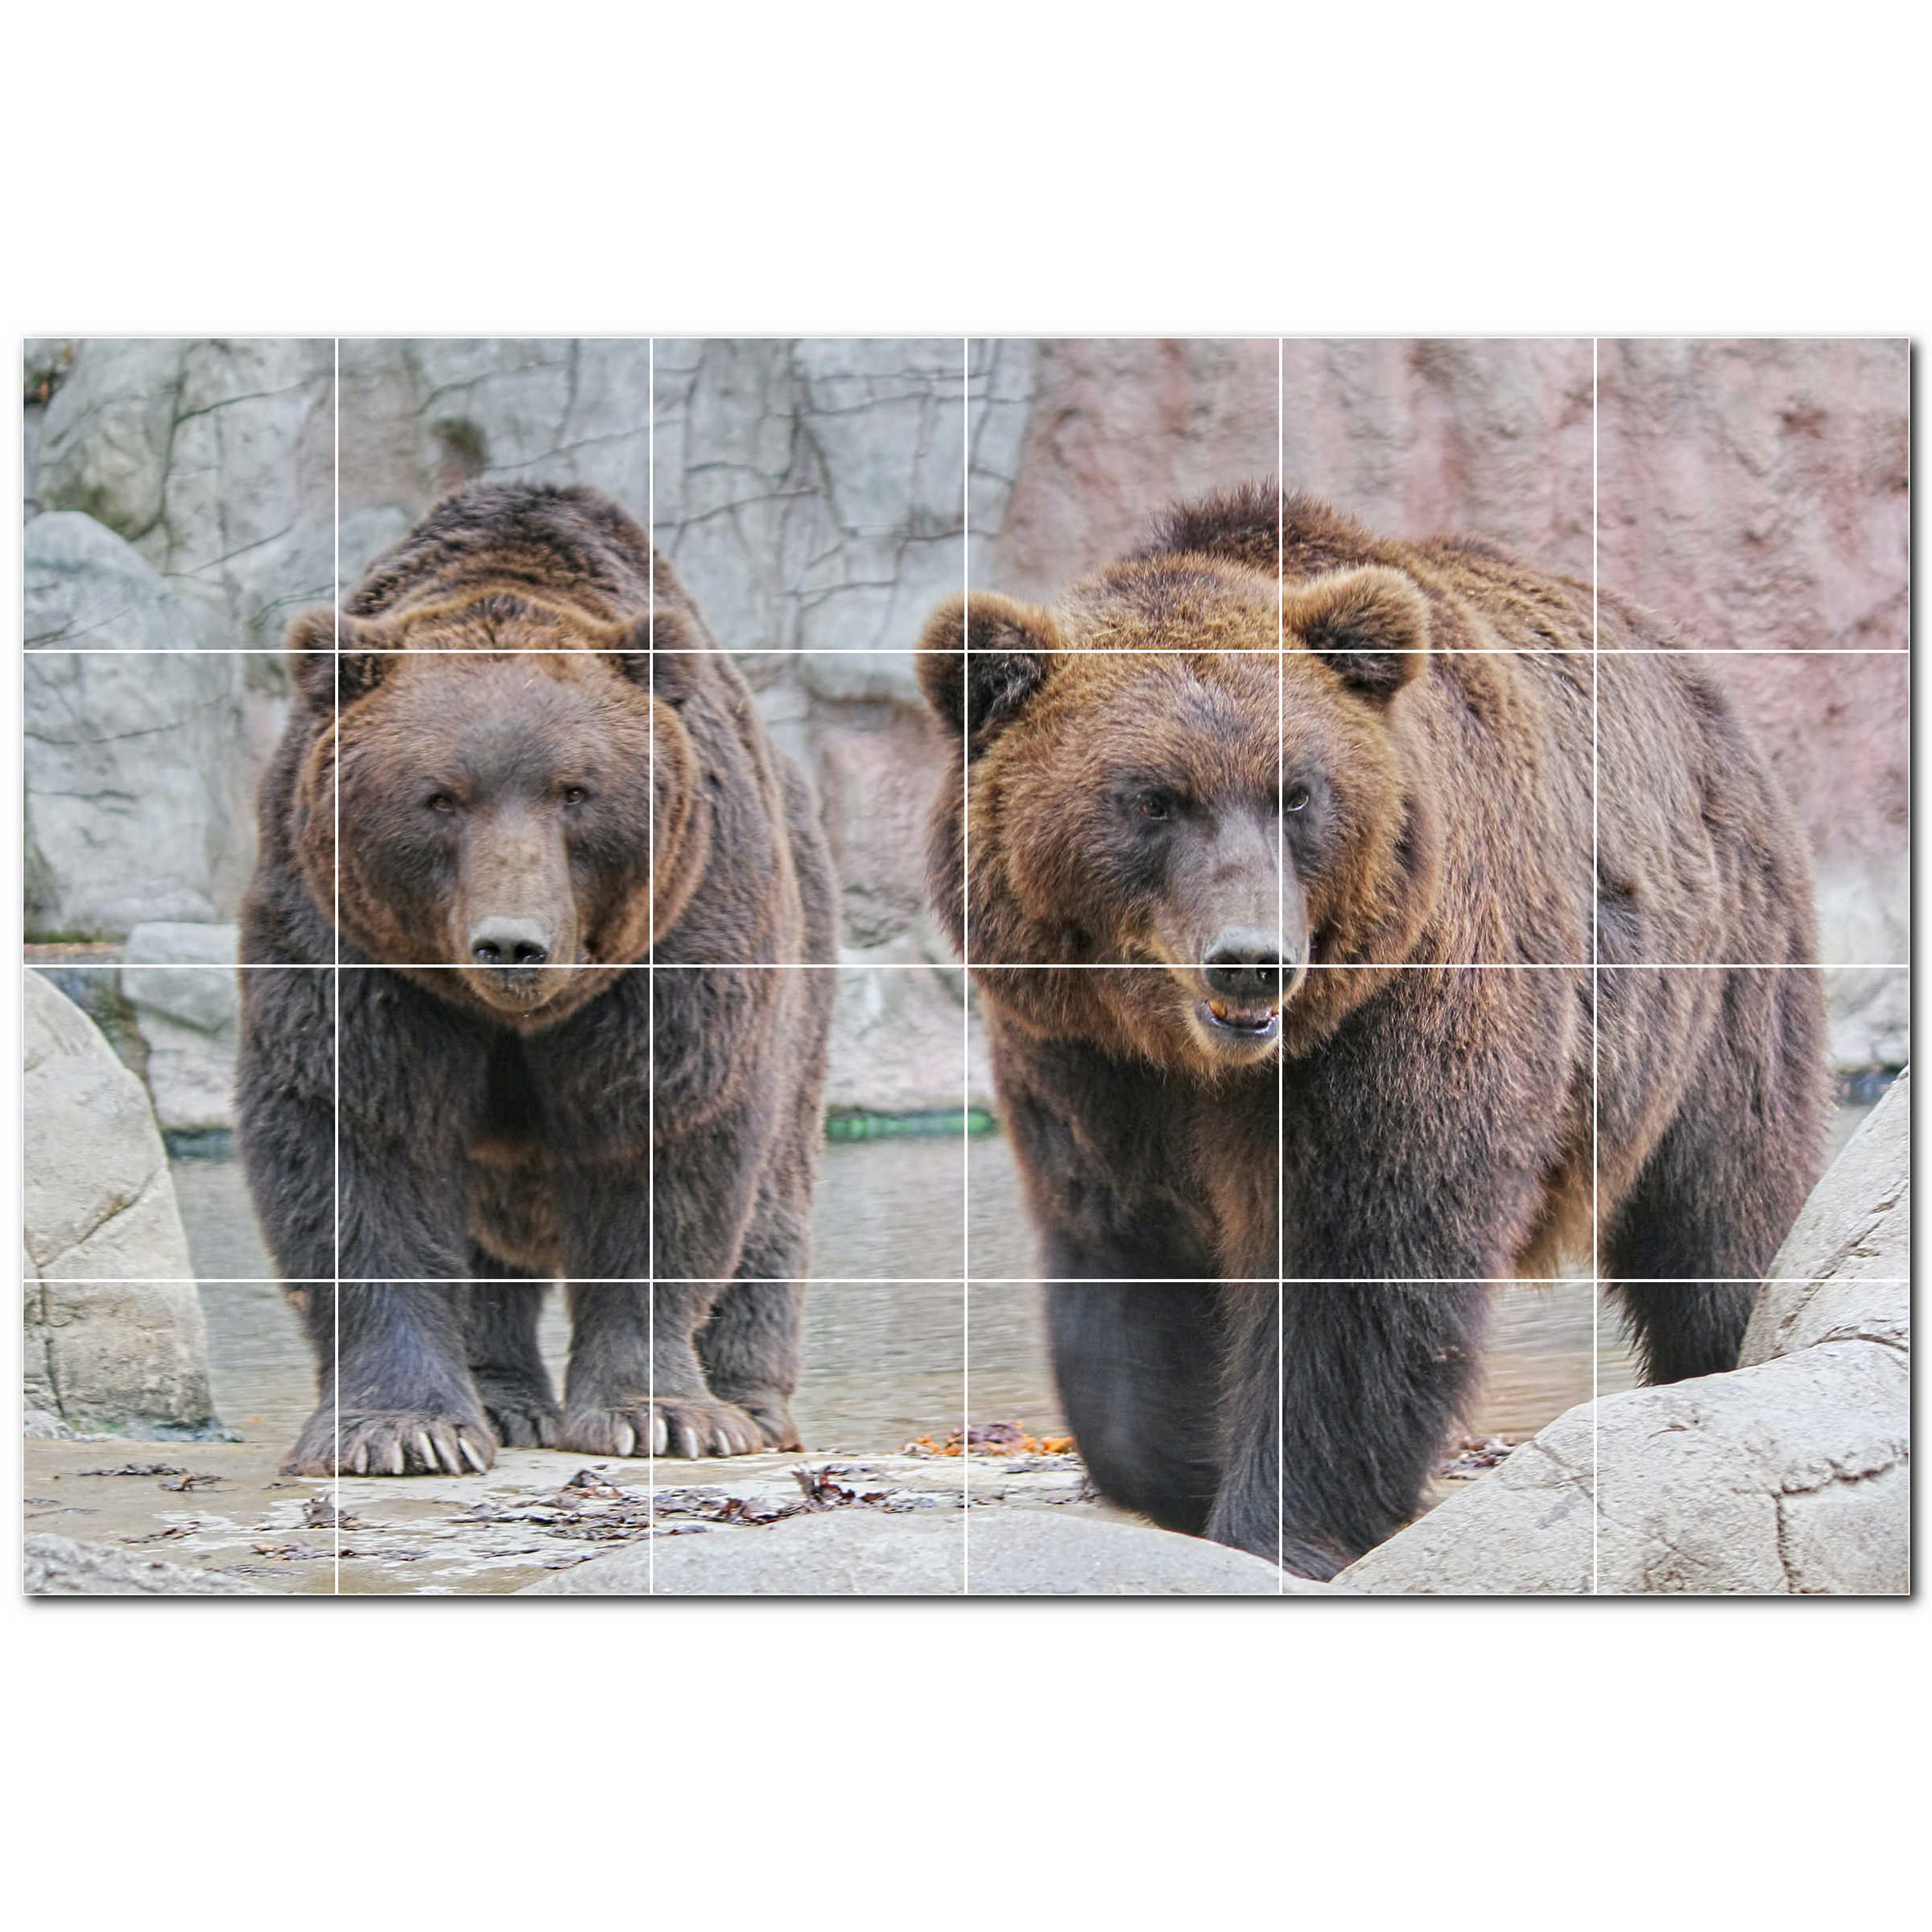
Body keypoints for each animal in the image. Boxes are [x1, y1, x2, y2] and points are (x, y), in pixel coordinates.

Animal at [236, 481, 836, 1477]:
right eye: (440, 797)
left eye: (576, 791)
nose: (513, 945)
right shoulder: (349, 944)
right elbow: (359, 1132)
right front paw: (404, 1431)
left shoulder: (675, 940)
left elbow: (660, 1144)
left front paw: (661, 1416)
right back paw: (503, 1397)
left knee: (773, 1193)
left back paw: (751, 1401)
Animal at [917, 482, 1827, 1578]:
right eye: (1152, 800)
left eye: (1297, 793)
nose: (1253, 958)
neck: (1202, 1057)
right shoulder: (1087, 1059)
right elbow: (1125, 1245)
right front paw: (1179, 1467)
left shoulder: (1399, 1005)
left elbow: (1362, 1262)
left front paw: (1282, 1520)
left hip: (1711, 977)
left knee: (1724, 1197)